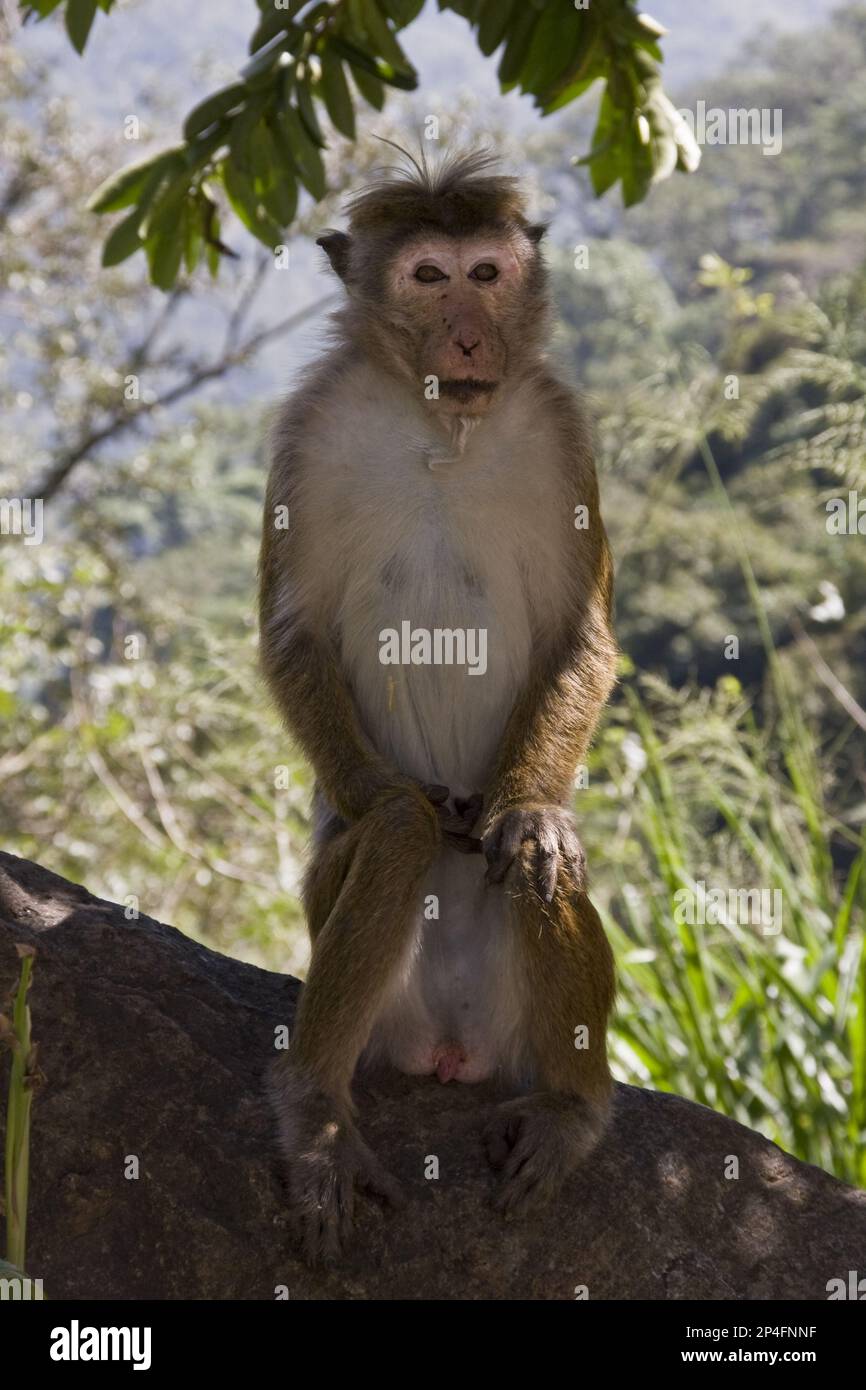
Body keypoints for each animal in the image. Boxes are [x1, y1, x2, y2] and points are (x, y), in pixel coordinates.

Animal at [258, 147, 617, 1265]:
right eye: (429, 278)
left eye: (487, 274)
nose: (469, 334)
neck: (442, 424)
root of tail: (451, 1048)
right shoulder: (310, 426)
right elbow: (292, 632)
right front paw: (387, 799)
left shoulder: (559, 426)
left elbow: (583, 637)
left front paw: (533, 812)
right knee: (401, 844)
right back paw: (317, 1118)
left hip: (515, 1026)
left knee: (537, 861)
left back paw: (570, 1108)